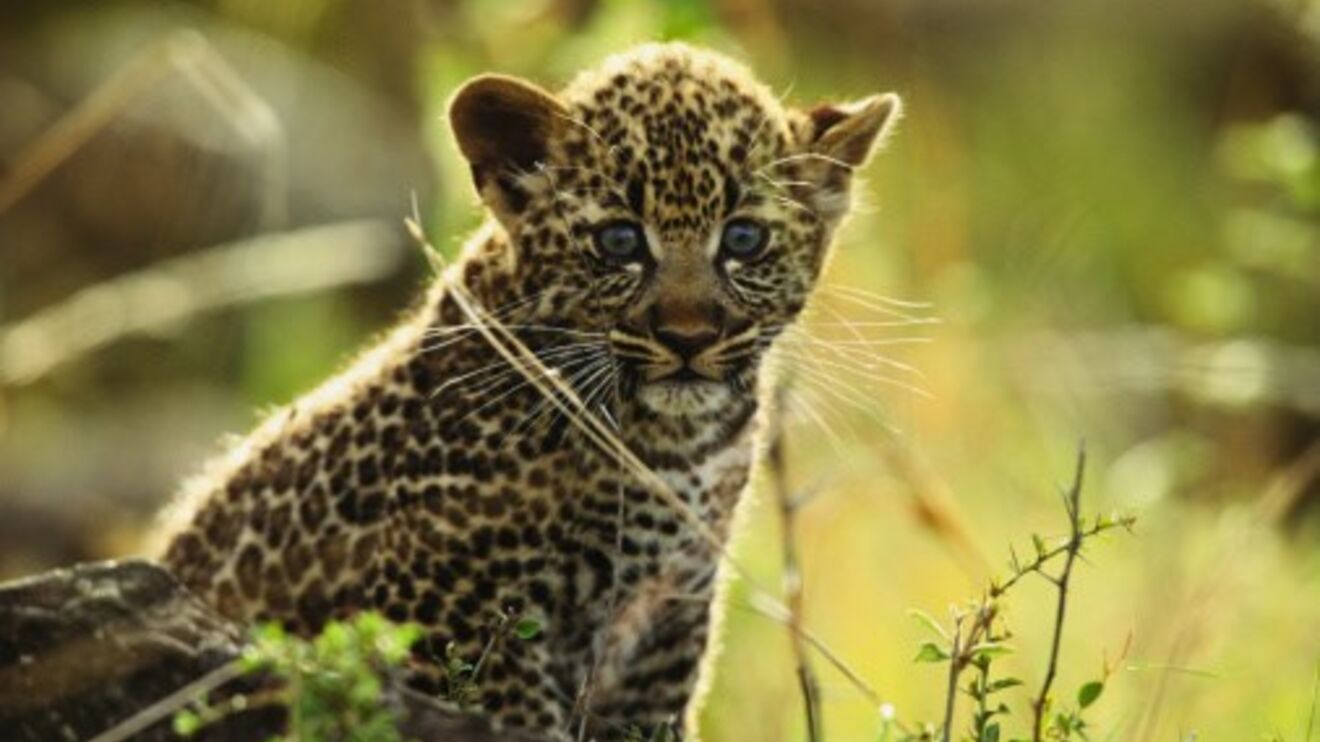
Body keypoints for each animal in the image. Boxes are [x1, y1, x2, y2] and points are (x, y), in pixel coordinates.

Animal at [153, 42, 900, 741]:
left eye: (743, 238)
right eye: (620, 241)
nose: (687, 336)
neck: (673, 446)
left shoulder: (667, 625)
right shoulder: (457, 615)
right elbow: (518, 720)